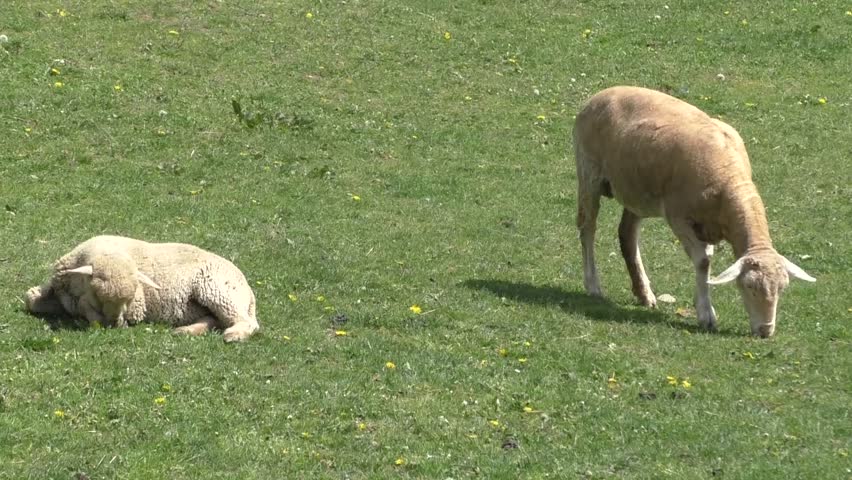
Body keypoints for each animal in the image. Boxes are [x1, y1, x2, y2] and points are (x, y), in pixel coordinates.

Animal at [25, 235, 259, 342]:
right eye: (98, 293)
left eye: (128, 301)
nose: (115, 324)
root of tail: (248, 291)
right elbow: (30, 299)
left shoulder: (136, 306)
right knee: (214, 319)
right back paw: (186, 330)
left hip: (218, 289)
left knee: (247, 323)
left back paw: (233, 335)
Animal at [572, 86, 815, 337]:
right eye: (749, 286)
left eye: (782, 288)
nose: (766, 331)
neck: (729, 184)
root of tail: (600, 95)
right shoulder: (678, 216)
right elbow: (702, 262)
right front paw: (706, 314)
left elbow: (706, 261)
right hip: (589, 173)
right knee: (587, 227)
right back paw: (593, 284)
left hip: (636, 190)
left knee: (627, 234)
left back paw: (644, 293)